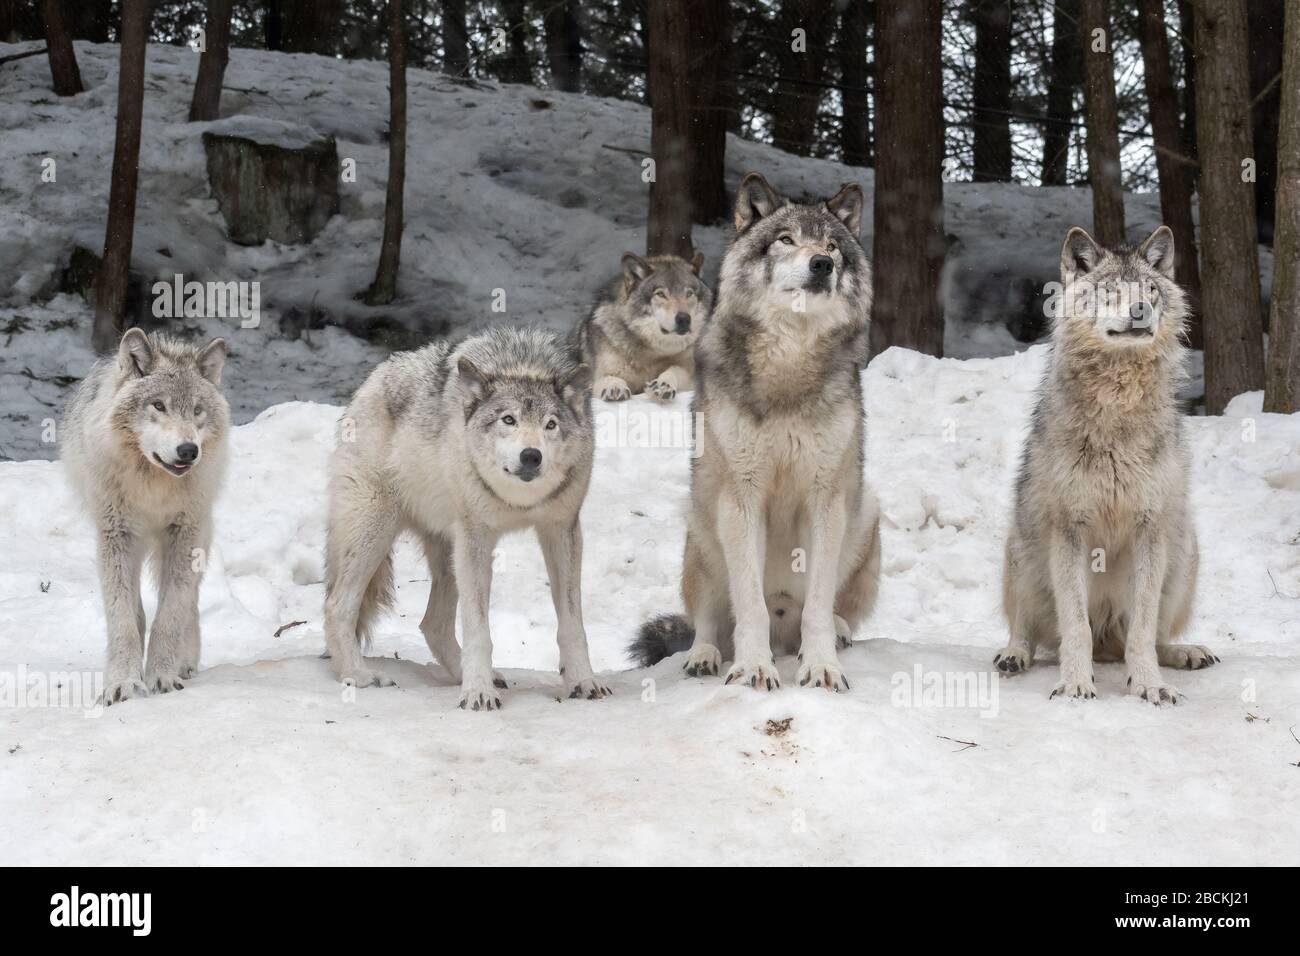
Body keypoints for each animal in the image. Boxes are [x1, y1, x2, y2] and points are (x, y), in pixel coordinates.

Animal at [62, 328, 230, 705]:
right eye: (159, 405)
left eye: (197, 411)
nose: (188, 450)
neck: (153, 484)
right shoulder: (116, 535)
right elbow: (123, 617)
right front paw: (122, 682)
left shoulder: (184, 535)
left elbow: (170, 614)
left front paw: (163, 677)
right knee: (136, 610)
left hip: (200, 536)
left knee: (190, 602)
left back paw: (186, 662)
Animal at [323, 326, 610, 710]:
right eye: (508, 420)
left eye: (550, 425)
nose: (531, 455)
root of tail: (370, 382)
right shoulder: (477, 538)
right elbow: (478, 630)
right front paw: (478, 692)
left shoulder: (561, 530)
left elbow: (572, 624)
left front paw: (582, 681)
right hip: (377, 532)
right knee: (337, 606)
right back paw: (359, 675)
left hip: (447, 552)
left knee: (432, 624)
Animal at [572, 252, 712, 403]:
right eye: (660, 294)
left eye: (689, 294)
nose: (684, 319)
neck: (650, 352)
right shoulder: (597, 375)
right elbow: (607, 377)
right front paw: (614, 386)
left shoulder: (690, 373)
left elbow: (674, 370)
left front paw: (663, 384)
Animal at [629, 172, 882, 692]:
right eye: (786, 240)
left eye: (832, 245)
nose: (823, 264)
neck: (789, 362)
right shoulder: (740, 496)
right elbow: (748, 605)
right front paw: (752, 669)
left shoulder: (827, 498)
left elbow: (819, 606)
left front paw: (822, 665)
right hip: (701, 524)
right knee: (708, 621)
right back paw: (703, 656)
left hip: (866, 511)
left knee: (828, 610)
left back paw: (837, 633)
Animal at [995, 225, 1216, 705]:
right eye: (1111, 291)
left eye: (1150, 290)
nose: (1141, 311)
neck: (1118, 402)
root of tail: (1106, 644)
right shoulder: (1069, 529)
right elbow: (1075, 626)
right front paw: (1075, 683)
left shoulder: (1150, 527)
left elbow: (1144, 631)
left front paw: (1150, 684)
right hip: (1023, 550)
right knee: (1029, 629)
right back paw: (1013, 655)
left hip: (1183, 548)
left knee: (1151, 637)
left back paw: (1185, 652)